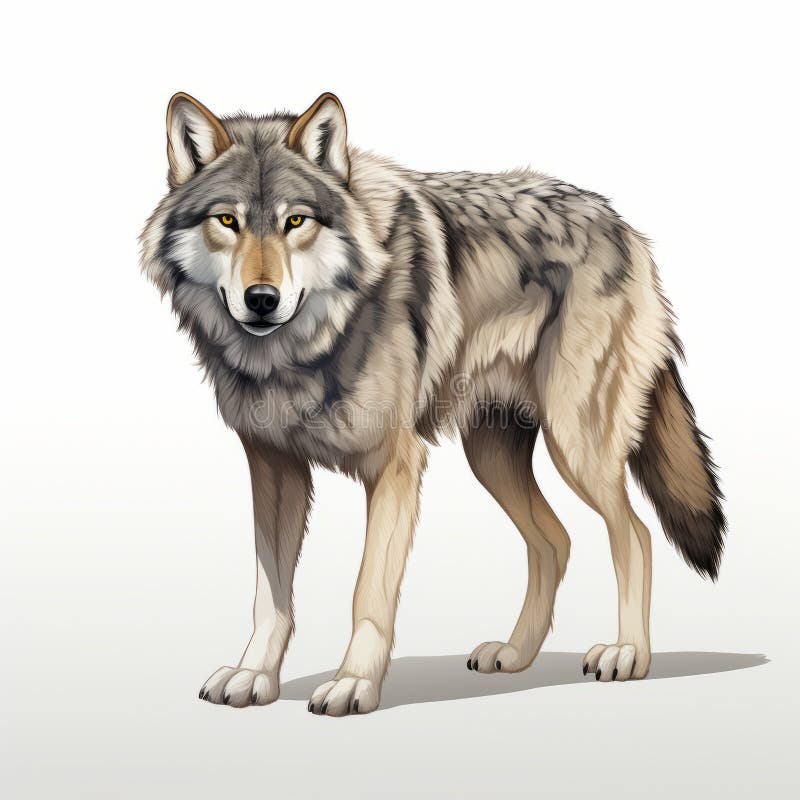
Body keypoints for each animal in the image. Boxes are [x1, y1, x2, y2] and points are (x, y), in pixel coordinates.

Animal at [140, 92, 725, 716]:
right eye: (227, 221)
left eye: (295, 221)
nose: (261, 299)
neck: (303, 349)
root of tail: (623, 226)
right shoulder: (273, 468)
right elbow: (270, 595)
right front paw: (255, 675)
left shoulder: (395, 465)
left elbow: (368, 591)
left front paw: (354, 684)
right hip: (490, 457)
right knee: (554, 540)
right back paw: (515, 654)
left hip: (575, 446)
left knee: (634, 535)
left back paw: (628, 654)